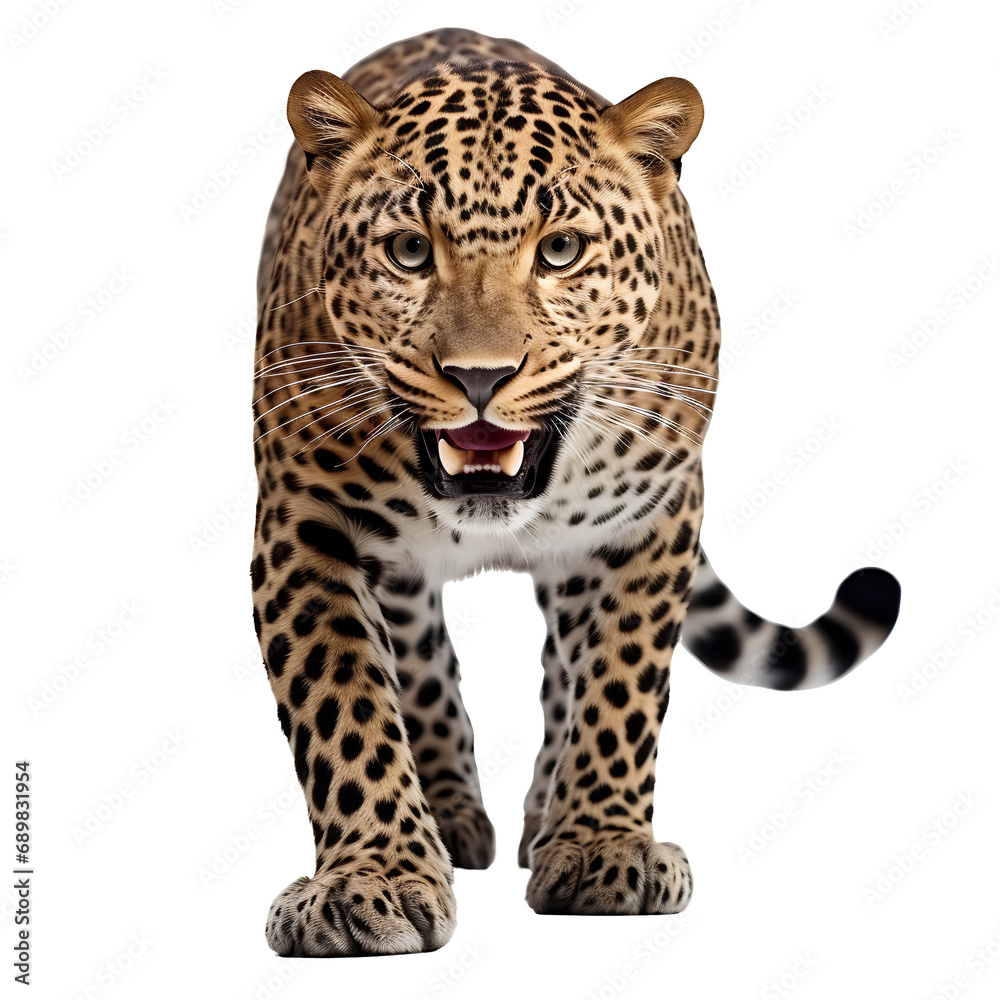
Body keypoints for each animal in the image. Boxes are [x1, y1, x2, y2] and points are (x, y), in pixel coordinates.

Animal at [250, 27, 901, 956]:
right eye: (409, 251)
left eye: (559, 251)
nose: (479, 377)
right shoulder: (303, 521)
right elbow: (343, 706)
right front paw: (371, 878)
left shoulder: (653, 516)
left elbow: (619, 680)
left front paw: (602, 847)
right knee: (421, 659)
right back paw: (452, 815)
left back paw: (543, 816)